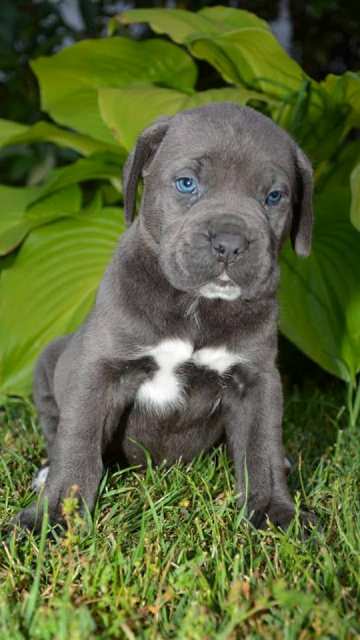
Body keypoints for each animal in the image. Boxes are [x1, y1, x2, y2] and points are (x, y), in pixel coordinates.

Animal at [14, 104, 314, 528]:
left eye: (274, 196)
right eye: (186, 184)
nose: (230, 243)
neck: (195, 307)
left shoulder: (257, 379)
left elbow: (262, 451)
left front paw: (274, 512)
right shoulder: (99, 370)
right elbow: (77, 445)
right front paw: (55, 517)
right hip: (48, 359)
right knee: (56, 426)